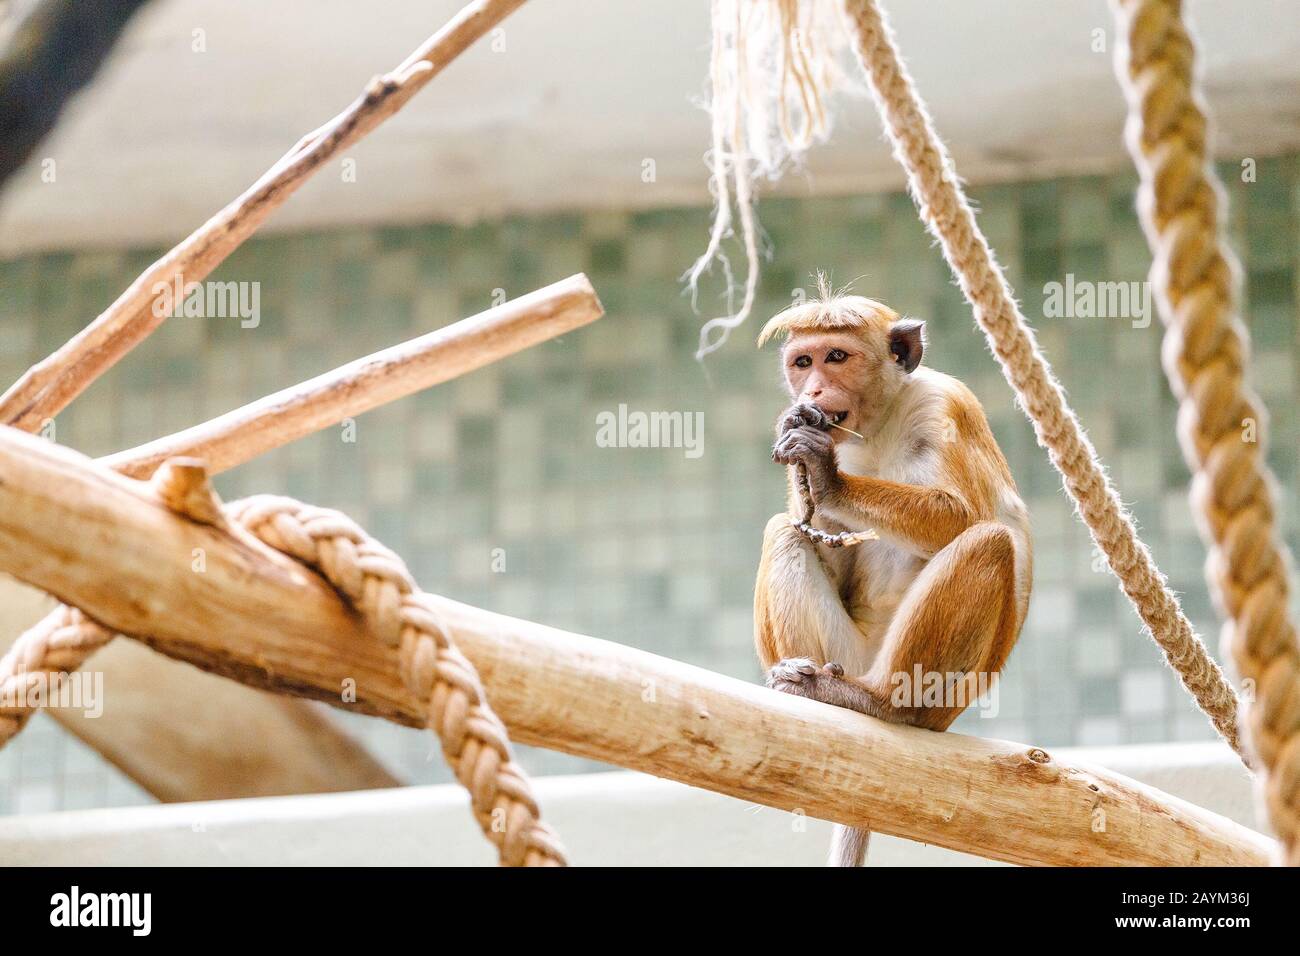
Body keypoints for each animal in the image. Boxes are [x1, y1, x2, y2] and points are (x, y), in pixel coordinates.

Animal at [753, 285, 1032, 867]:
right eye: (803, 362)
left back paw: (882, 704)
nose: (813, 388)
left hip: (939, 697)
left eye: (837, 356)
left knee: (989, 542)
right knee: (783, 532)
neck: (877, 426)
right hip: (845, 651)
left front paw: (827, 476)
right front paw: (797, 443)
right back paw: (810, 692)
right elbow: (813, 535)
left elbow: (962, 516)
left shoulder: (944, 405)